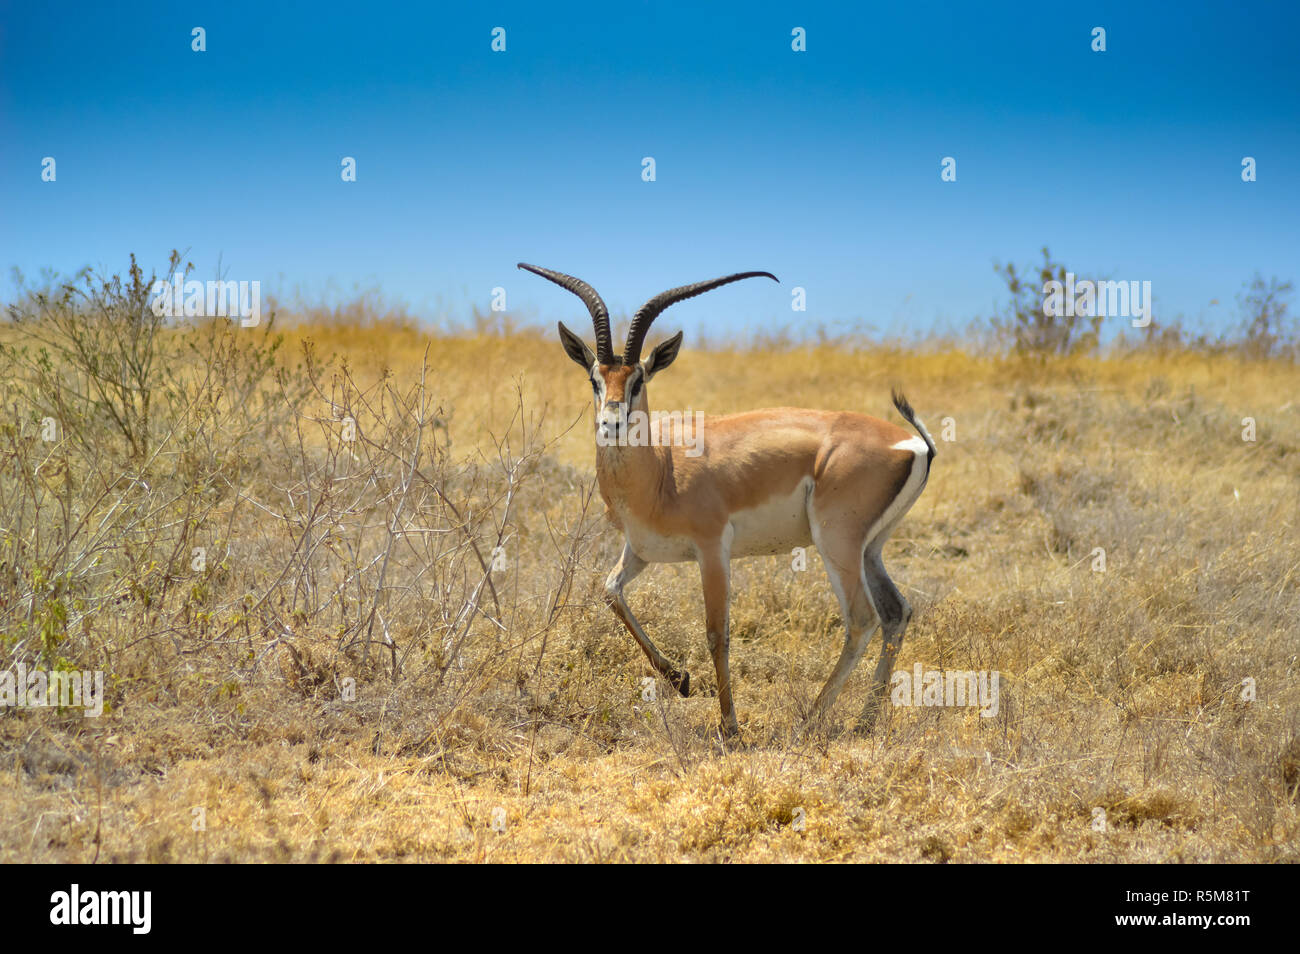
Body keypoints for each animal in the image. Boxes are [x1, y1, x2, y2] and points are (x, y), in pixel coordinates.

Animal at [519, 263, 935, 737]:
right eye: (595, 379)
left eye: (638, 379)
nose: (611, 423)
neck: (661, 469)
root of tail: (912, 443)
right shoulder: (640, 551)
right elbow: (610, 592)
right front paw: (679, 679)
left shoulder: (712, 548)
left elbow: (717, 633)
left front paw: (730, 724)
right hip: (870, 548)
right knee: (896, 613)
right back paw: (864, 723)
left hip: (837, 543)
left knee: (862, 618)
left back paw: (808, 720)